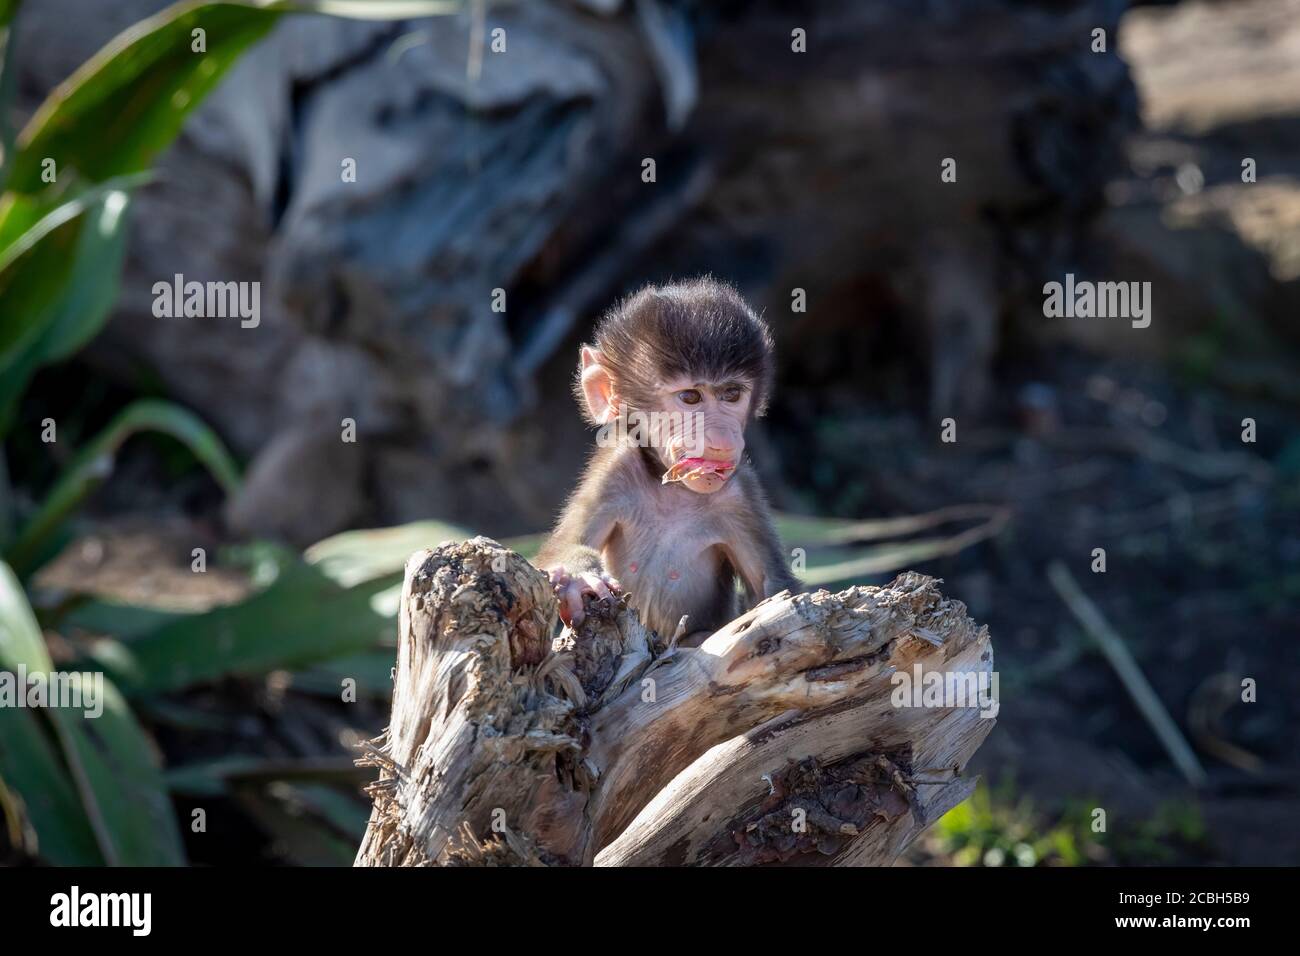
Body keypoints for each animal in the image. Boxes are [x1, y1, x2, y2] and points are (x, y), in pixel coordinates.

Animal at [535, 277, 800, 642]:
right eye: (690, 397)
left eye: (732, 394)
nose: (721, 439)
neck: (672, 489)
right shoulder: (615, 467)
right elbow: (556, 551)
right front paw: (578, 576)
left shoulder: (739, 491)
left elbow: (771, 588)